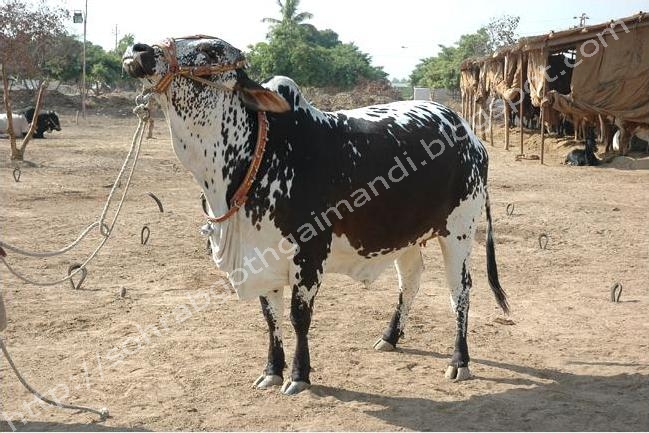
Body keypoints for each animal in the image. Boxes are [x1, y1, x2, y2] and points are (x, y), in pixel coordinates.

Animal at [122, 36, 509, 395]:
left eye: (211, 51)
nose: (137, 50)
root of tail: (470, 134)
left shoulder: (309, 254)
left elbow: (298, 317)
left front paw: (299, 375)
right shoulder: (262, 258)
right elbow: (271, 318)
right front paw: (271, 371)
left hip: (459, 231)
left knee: (460, 290)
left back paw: (459, 360)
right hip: (407, 235)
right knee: (411, 281)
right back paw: (390, 336)